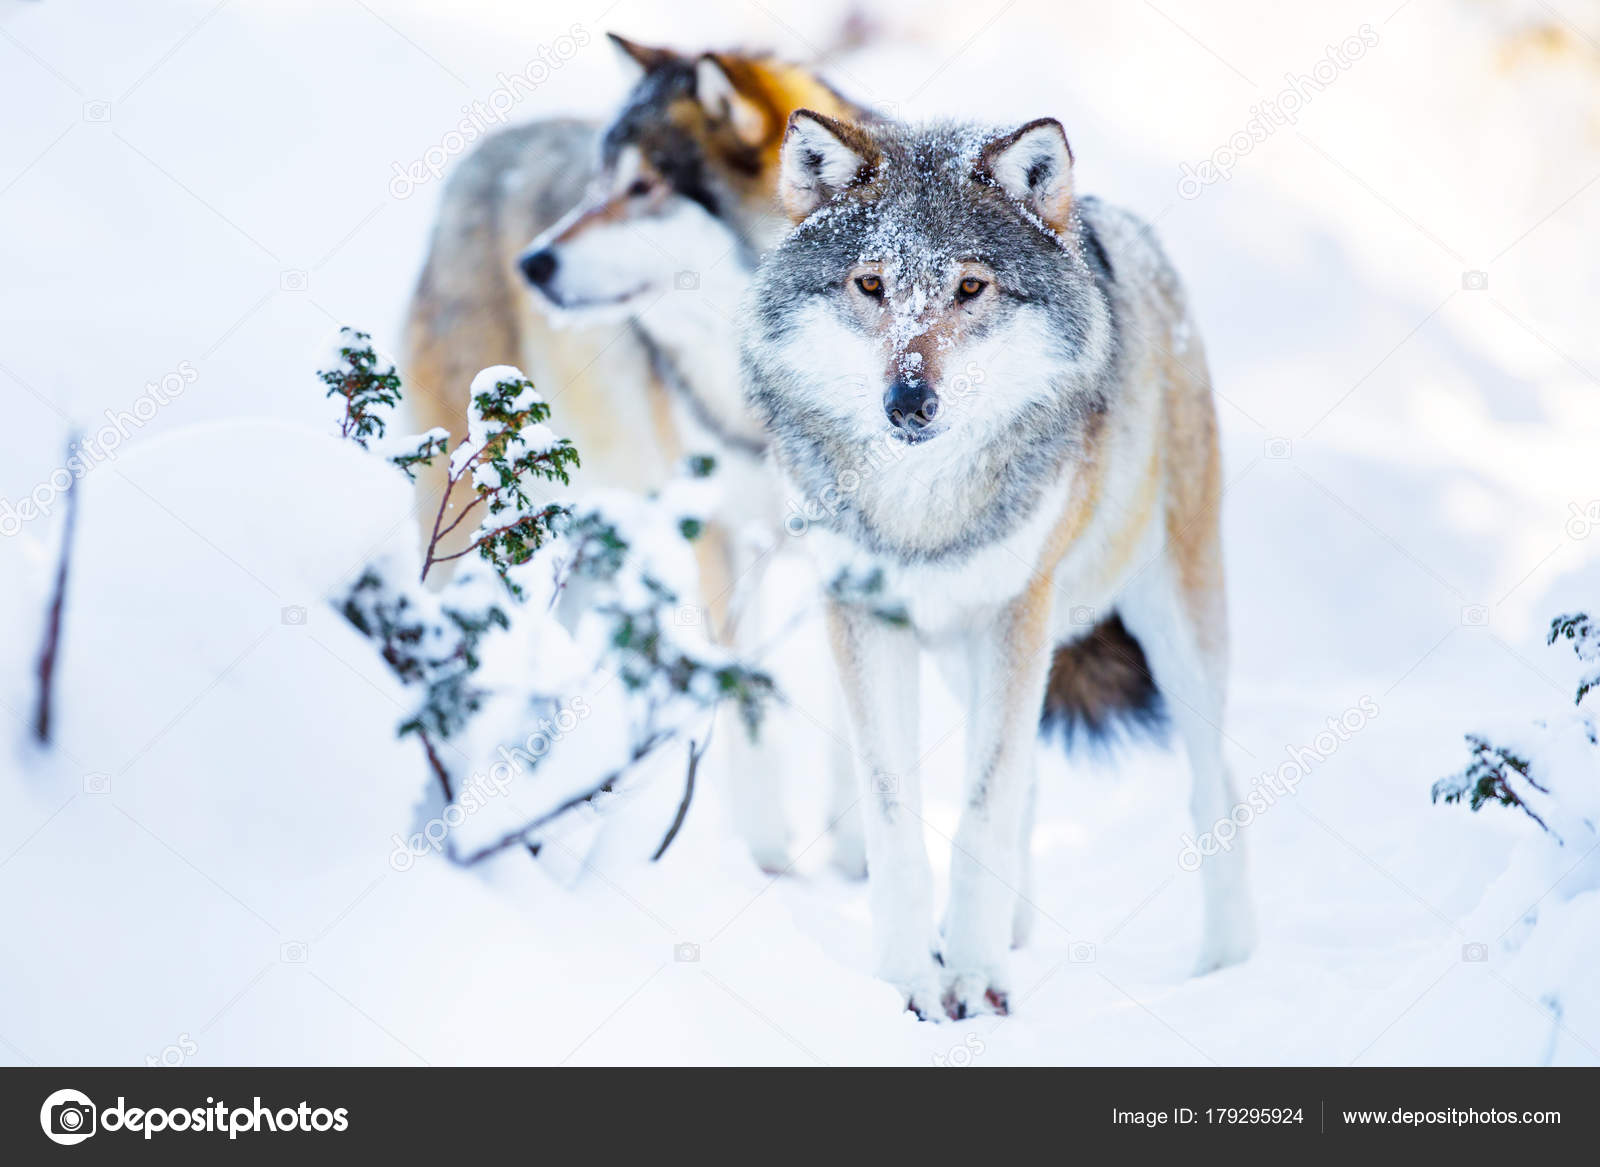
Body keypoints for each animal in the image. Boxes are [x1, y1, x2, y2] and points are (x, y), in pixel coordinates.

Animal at [403, 37, 872, 873]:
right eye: (598, 184)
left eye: (645, 185)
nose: (533, 264)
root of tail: (482, 157)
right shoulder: (723, 541)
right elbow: (745, 710)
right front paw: (770, 867)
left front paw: (857, 870)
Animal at [741, 112, 1257, 1019]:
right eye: (870, 284)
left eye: (971, 288)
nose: (909, 402)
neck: (922, 511)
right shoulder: (866, 616)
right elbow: (896, 821)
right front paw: (910, 983)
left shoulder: (1020, 609)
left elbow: (982, 810)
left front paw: (975, 980)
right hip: (965, 655)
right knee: (1034, 788)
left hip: (1170, 625)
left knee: (1213, 790)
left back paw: (1225, 974)